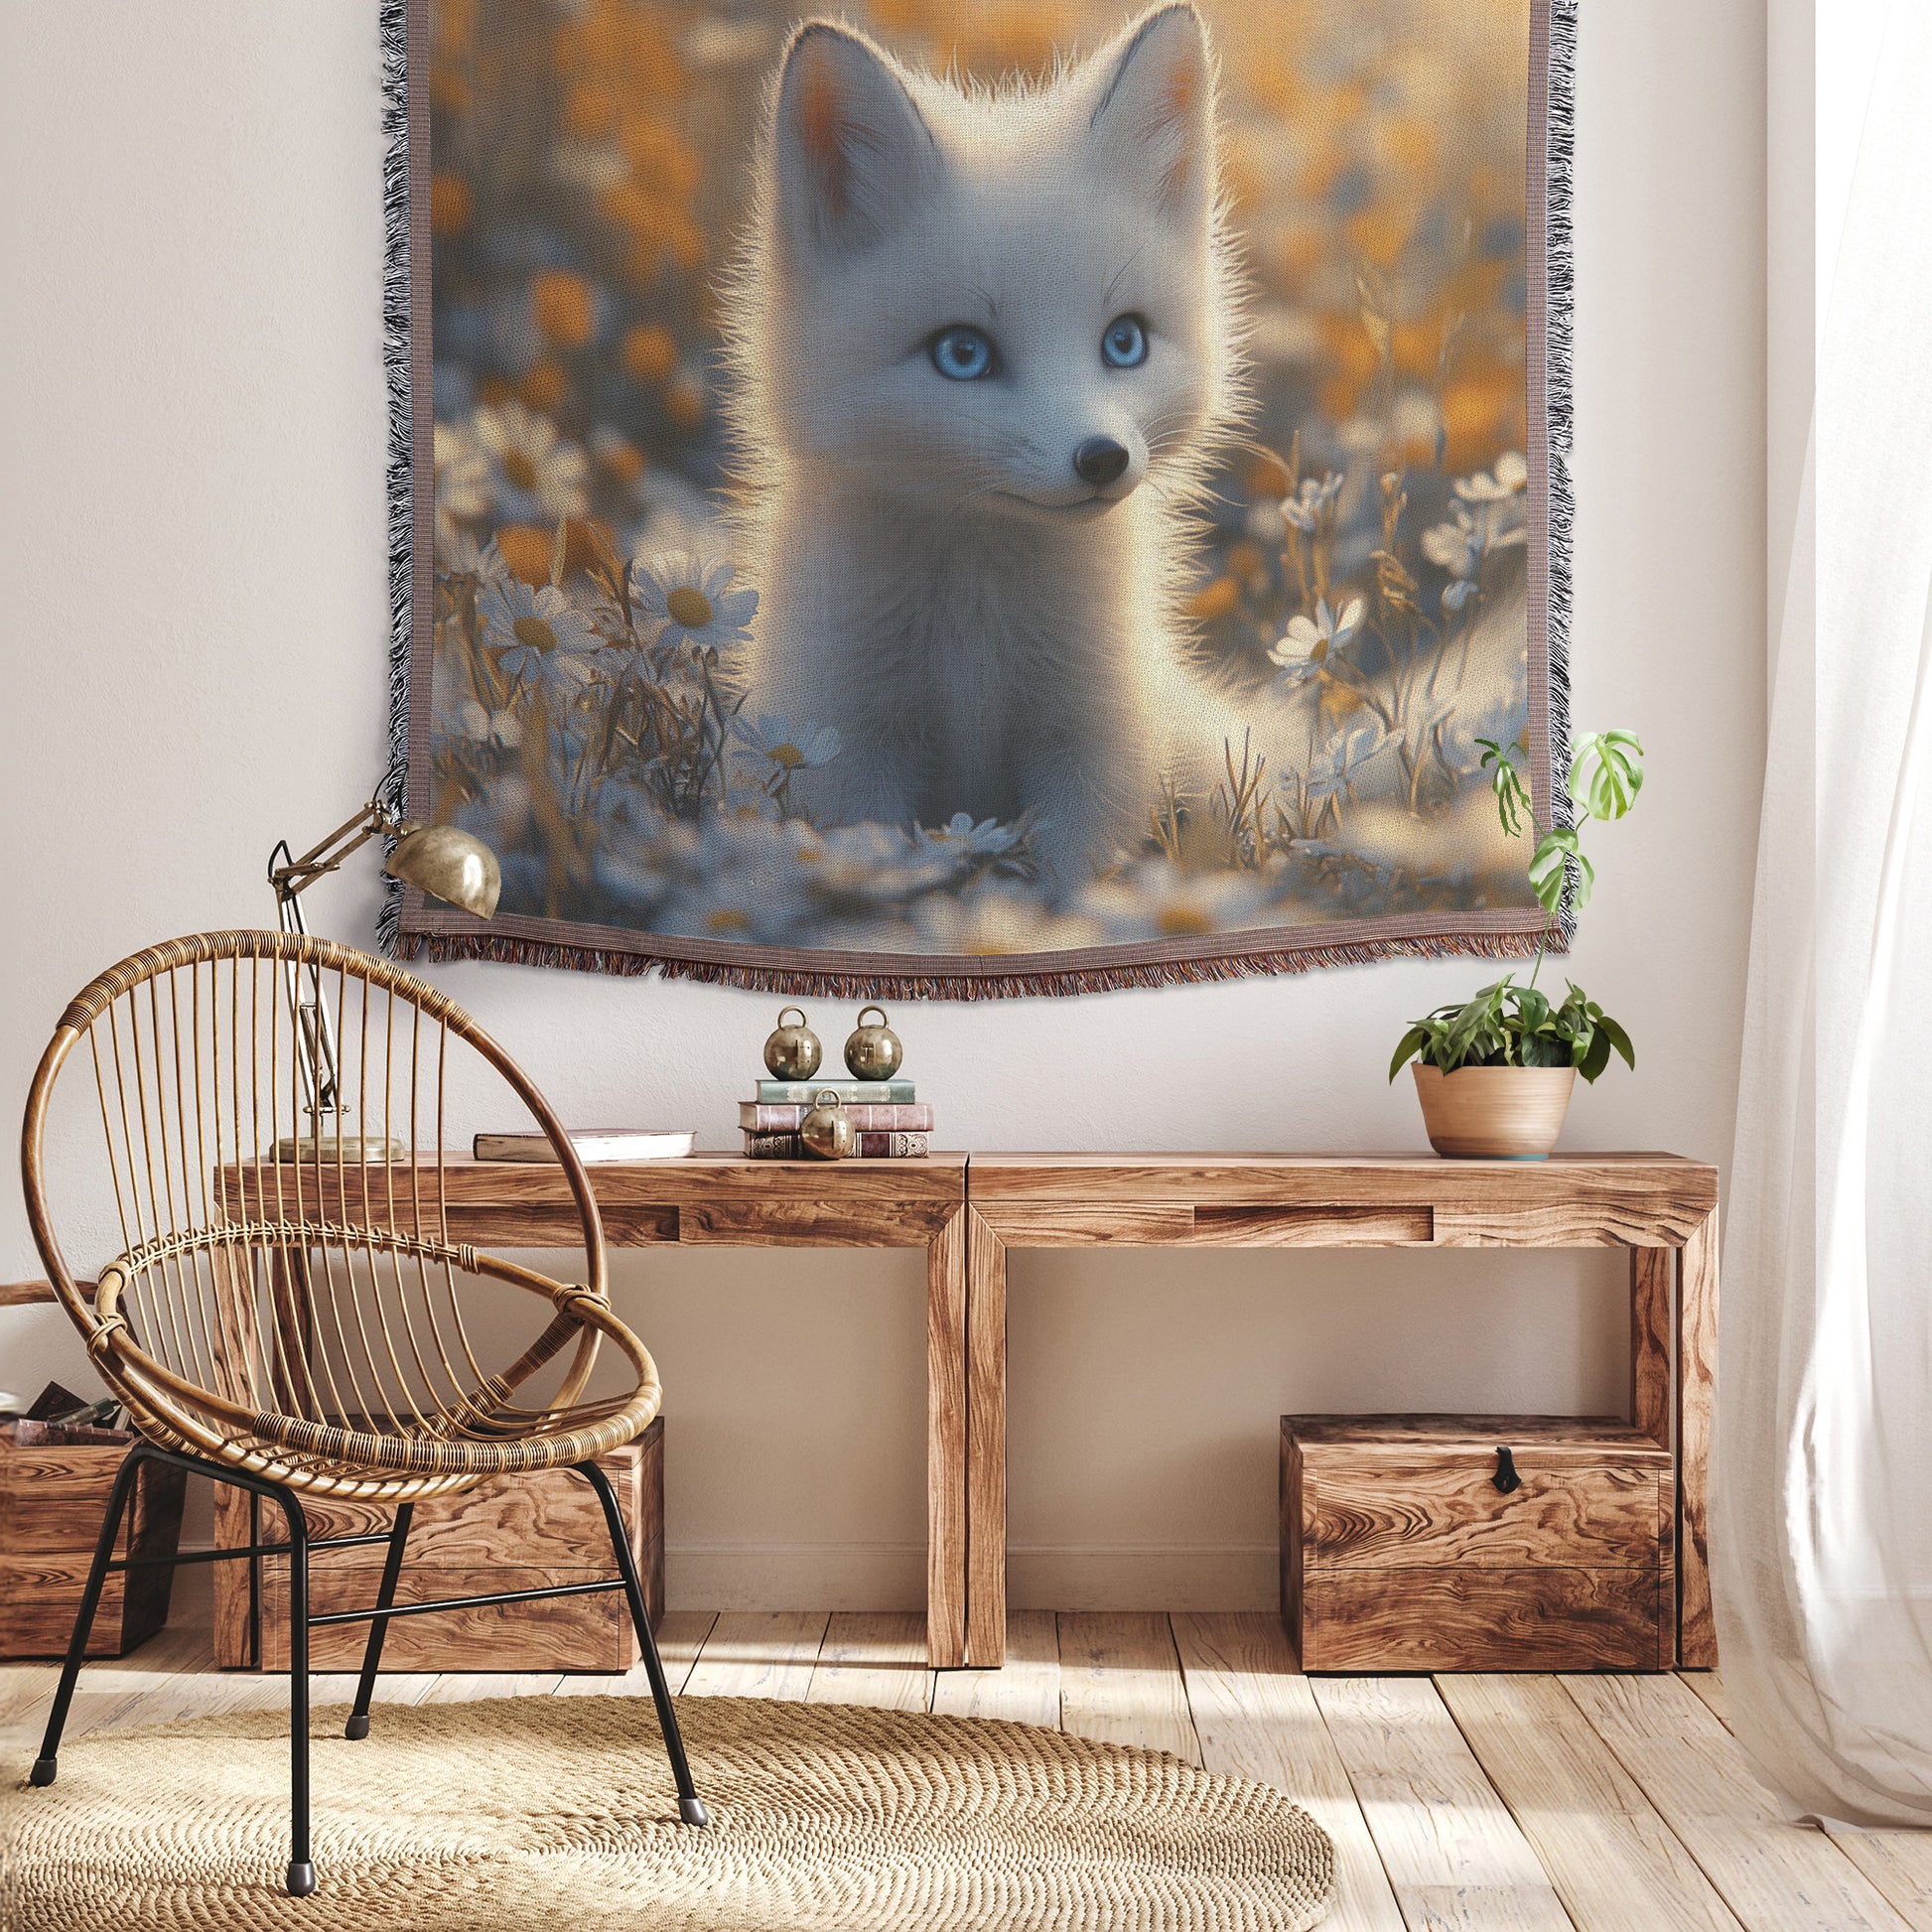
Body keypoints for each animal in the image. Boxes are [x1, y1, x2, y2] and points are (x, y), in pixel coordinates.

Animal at [721, 4, 1253, 885]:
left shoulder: (1094, 747)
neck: (976, 635)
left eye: (1125, 343)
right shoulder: (849, 750)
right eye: (962, 354)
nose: (1103, 459)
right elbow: (880, 873)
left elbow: (1078, 887)